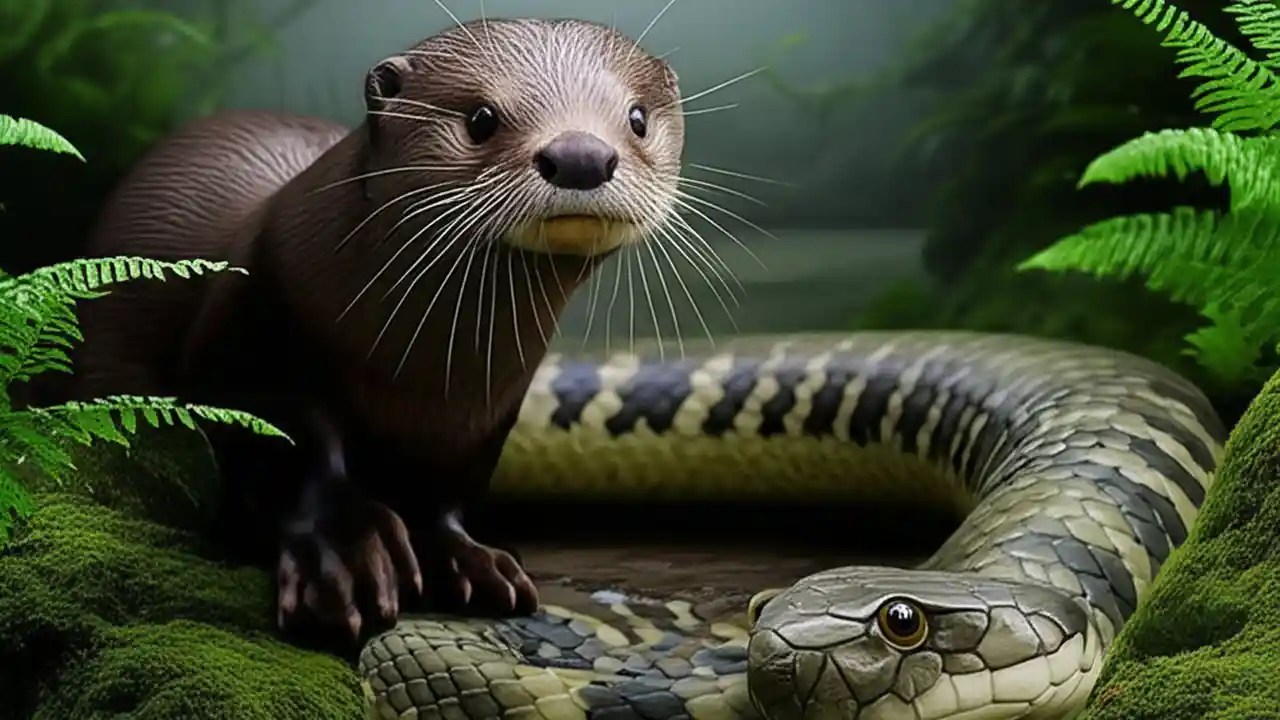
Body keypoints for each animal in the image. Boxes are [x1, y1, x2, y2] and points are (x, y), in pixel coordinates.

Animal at [71, 18, 685, 651]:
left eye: (637, 118)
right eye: (481, 118)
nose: (581, 155)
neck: (423, 376)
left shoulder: (489, 413)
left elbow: (444, 494)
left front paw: (471, 559)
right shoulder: (249, 338)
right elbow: (293, 448)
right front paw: (344, 557)